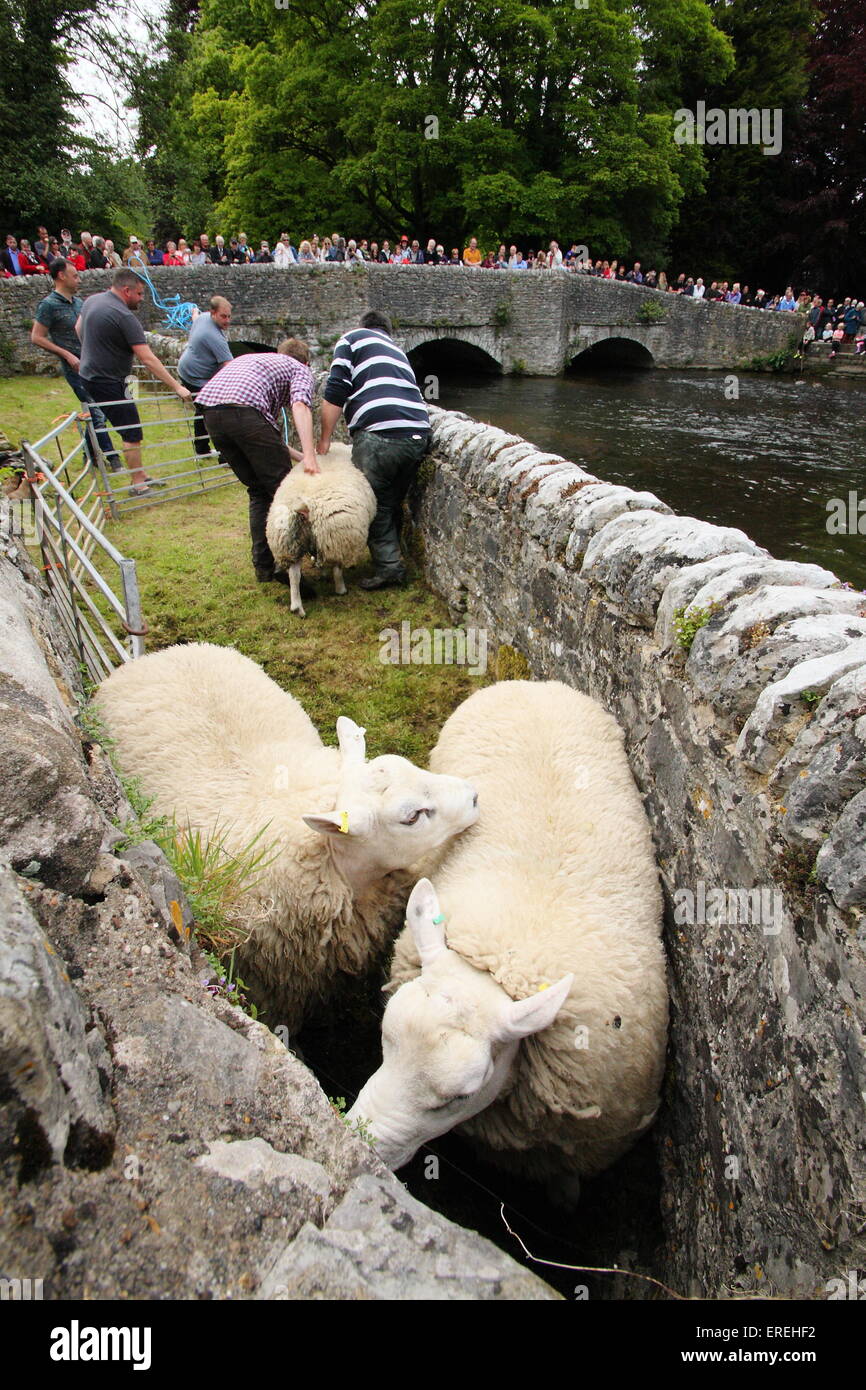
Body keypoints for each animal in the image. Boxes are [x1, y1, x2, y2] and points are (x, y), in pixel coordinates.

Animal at [265, 442, 377, 616]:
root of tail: (304, 506)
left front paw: (322, 572)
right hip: (336, 534)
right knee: (337, 567)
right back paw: (341, 589)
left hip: (290, 542)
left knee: (294, 574)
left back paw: (297, 607)